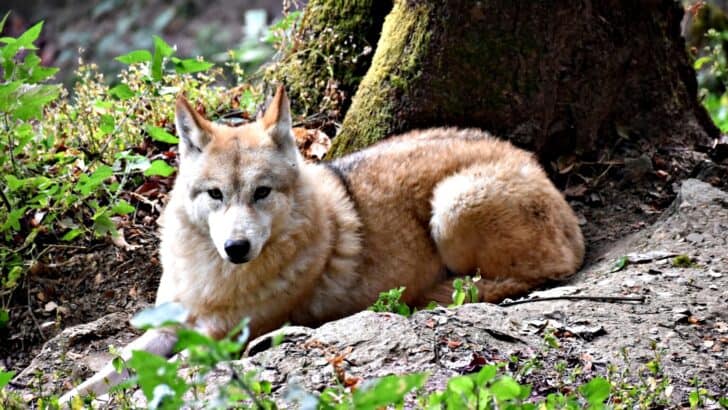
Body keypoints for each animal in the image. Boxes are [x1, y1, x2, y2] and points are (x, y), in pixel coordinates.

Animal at [60, 85, 584, 403]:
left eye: (262, 192)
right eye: (215, 194)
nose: (236, 247)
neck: (214, 279)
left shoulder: (220, 340)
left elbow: (160, 370)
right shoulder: (171, 324)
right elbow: (109, 369)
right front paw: (61, 396)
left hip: (452, 207)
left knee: (528, 276)